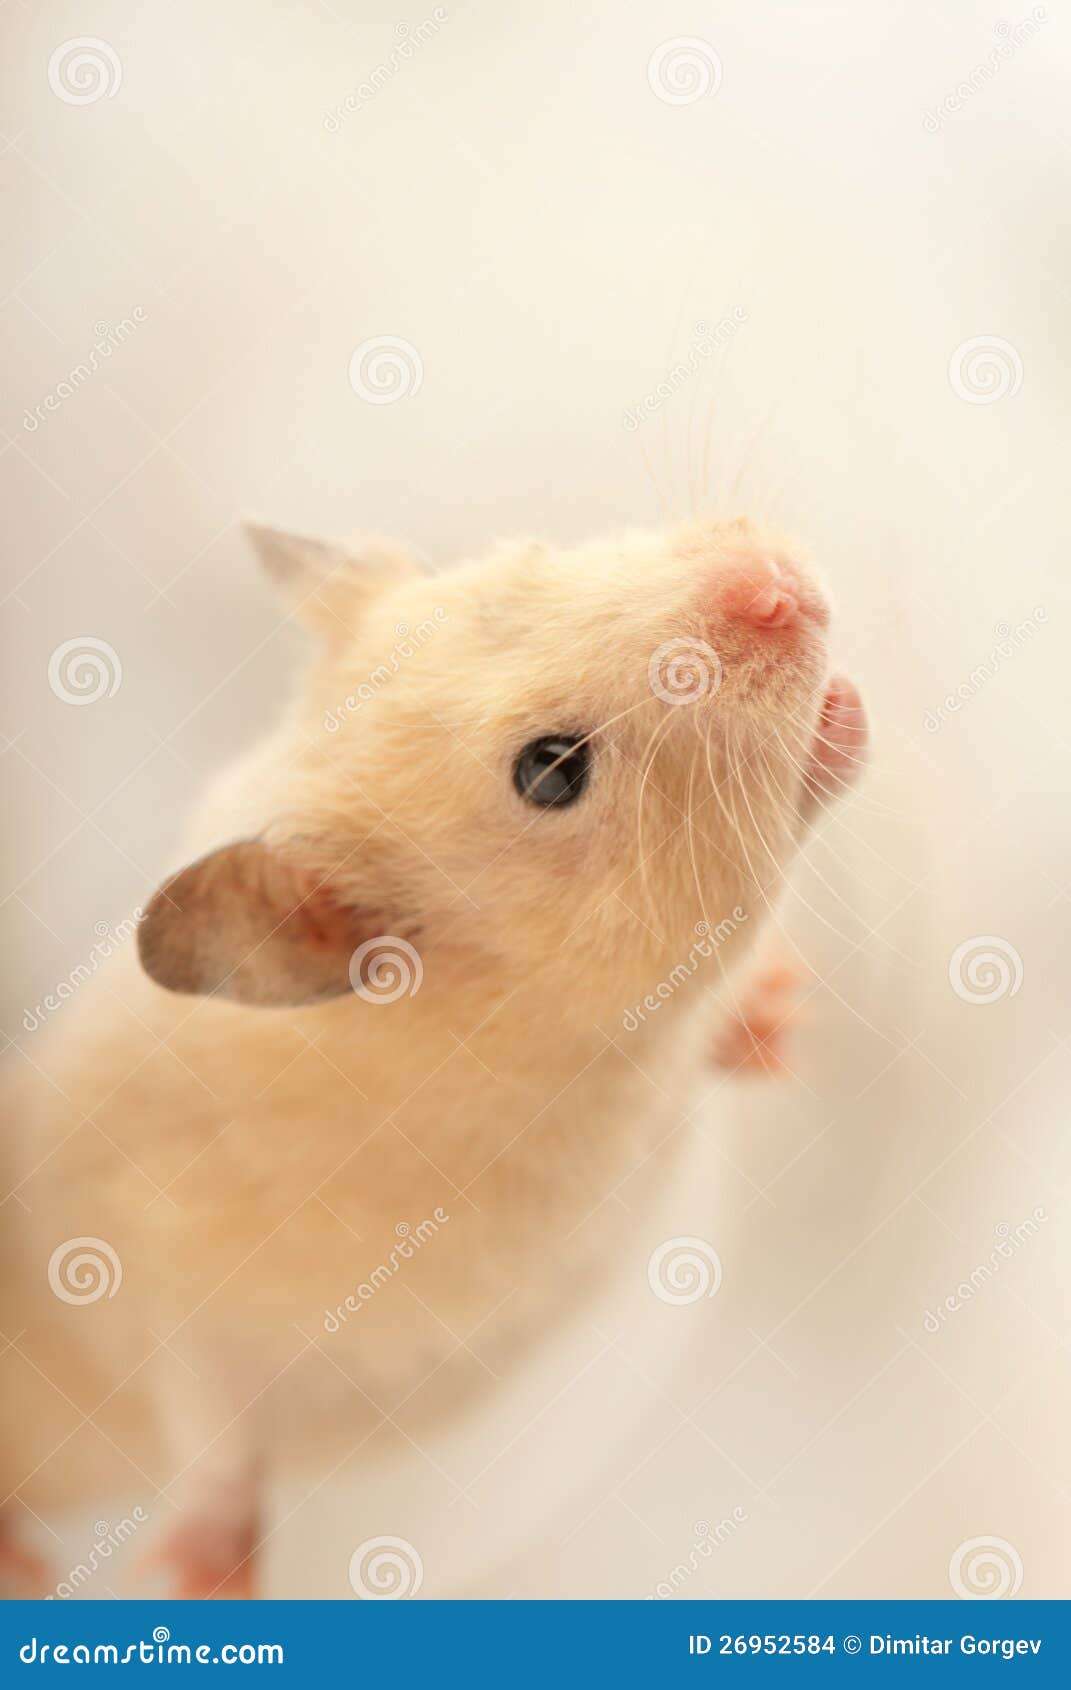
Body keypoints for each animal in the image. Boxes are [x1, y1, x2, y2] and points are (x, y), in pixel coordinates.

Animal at [1, 514, 866, 1596]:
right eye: (551, 770)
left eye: (532, 562)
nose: (774, 578)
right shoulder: (154, 1290)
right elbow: (208, 1433)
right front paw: (202, 1575)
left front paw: (780, 1011)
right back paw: (31, 1565)